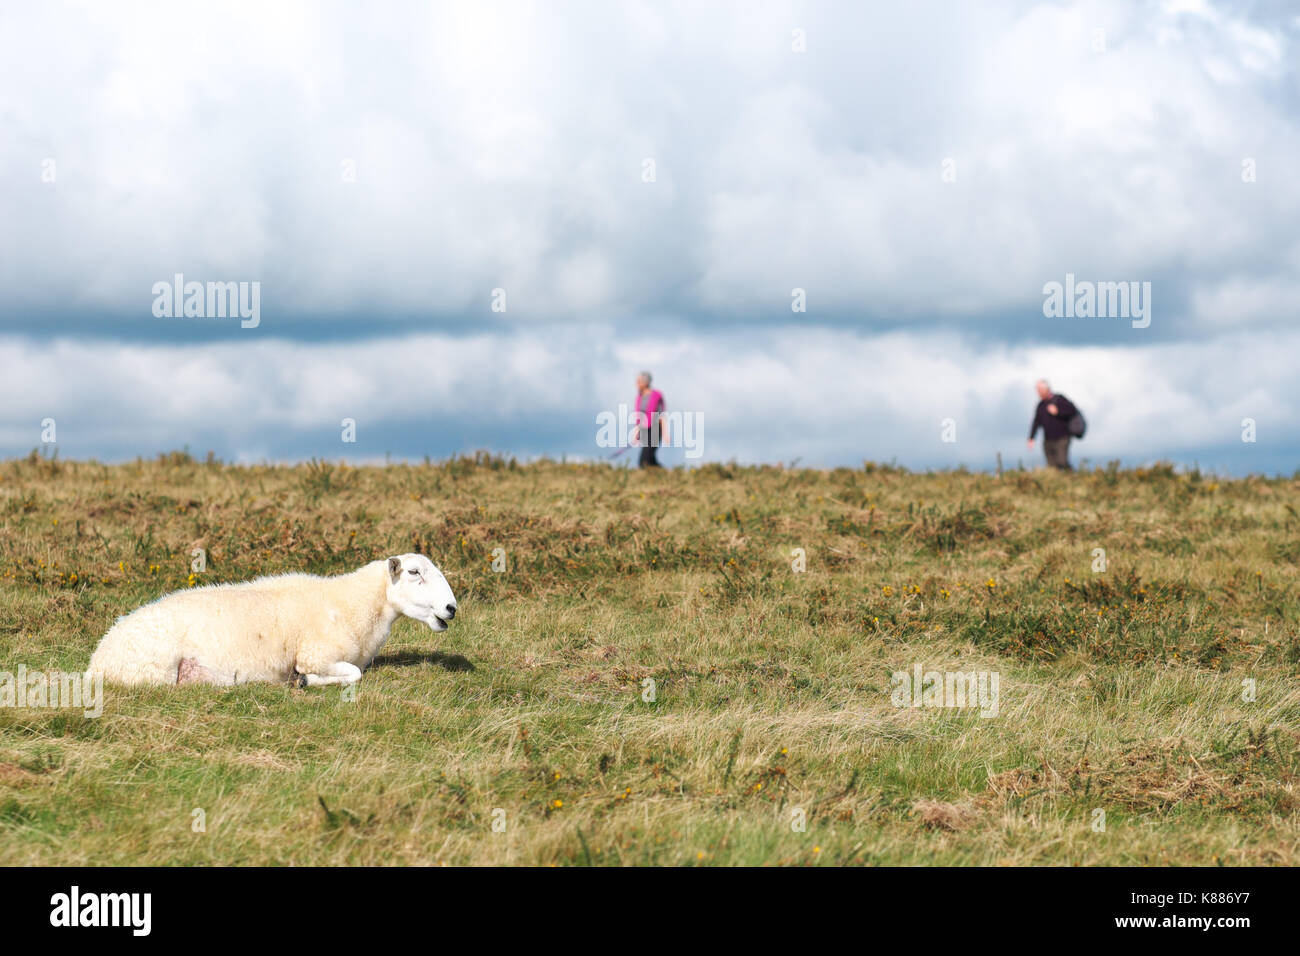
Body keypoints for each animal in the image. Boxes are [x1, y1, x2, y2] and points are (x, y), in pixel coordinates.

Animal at [87, 554, 457, 688]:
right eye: (414, 573)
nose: (451, 607)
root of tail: (97, 659)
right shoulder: (315, 655)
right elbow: (352, 674)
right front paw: (304, 681)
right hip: (155, 672)